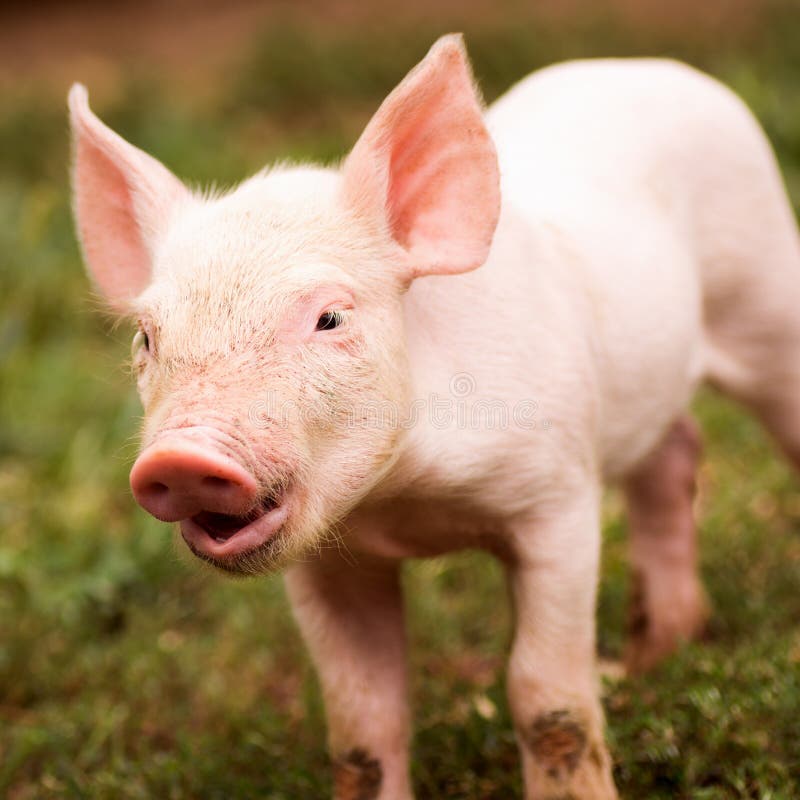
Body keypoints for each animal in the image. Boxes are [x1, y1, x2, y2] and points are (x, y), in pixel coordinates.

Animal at [68, 34, 800, 800]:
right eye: (145, 337)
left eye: (330, 318)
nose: (181, 456)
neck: (409, 504)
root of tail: (644, 67)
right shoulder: (329, 568)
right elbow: (362, 724)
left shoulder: (559, 500)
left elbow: (547, 697)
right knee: (675, 450)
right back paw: (646, 661)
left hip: (768, 298)